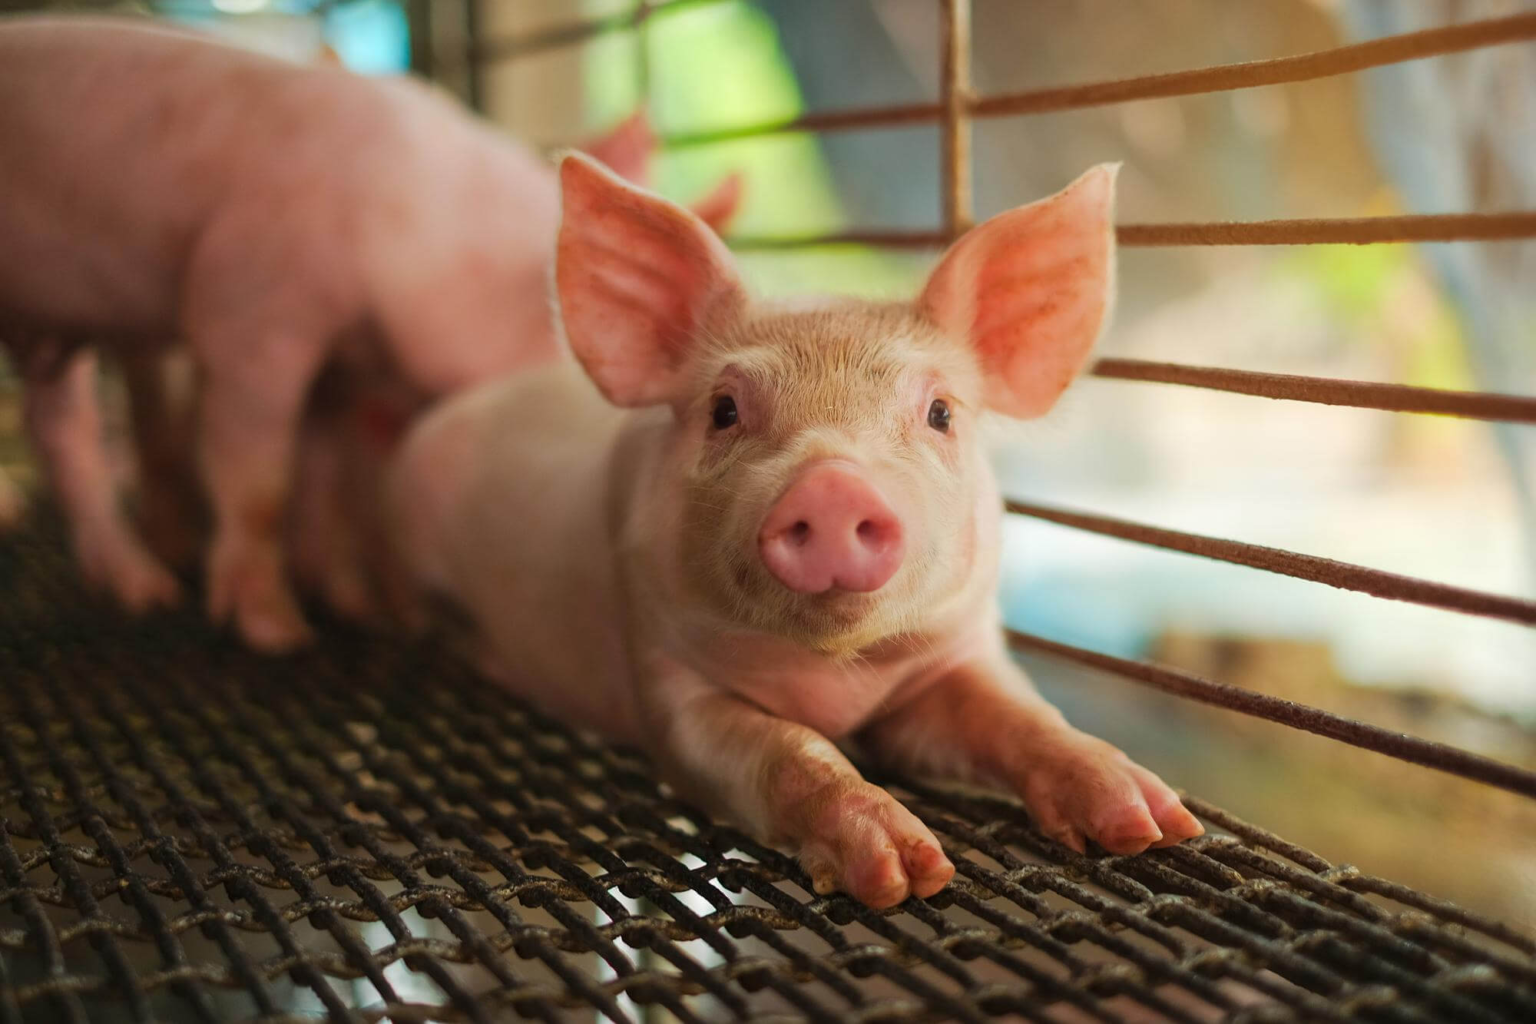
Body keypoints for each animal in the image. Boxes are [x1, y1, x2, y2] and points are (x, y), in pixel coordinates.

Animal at [0, 16, 736, 649]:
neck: (407, 219)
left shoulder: (340, 366)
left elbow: (322, 473)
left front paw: (357, 609)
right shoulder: (249, 305)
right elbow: (261, 478)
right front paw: (279, 634)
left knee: (56, 425)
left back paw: (138, 587)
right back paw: (150, 587)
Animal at [385, 153, 1204, 909]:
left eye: (940, 412)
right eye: (724, 410)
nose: (833, 484)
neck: (833, 678)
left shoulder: (957, 652)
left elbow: (1016, 716)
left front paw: (1152, 824)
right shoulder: (664, 676)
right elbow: (784, 751)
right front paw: (905, 874)